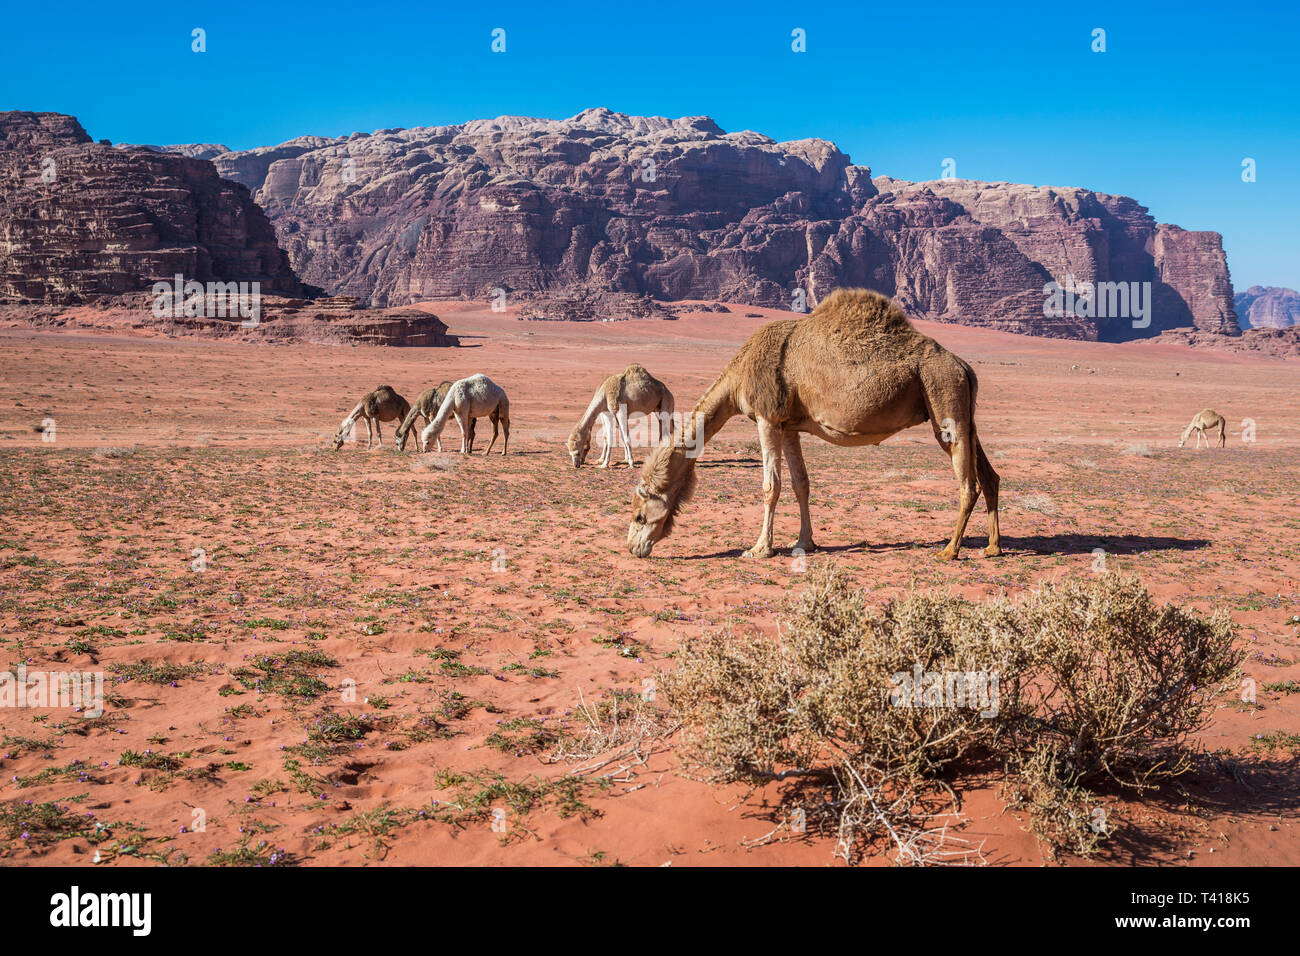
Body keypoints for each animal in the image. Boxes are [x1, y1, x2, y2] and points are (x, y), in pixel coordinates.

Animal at [626, 288, 1002, 561]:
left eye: (640, 516)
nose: (633, 548)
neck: (738, 379)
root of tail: (964, 366)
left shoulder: (767, 419)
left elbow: (771, 486)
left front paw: (759, 549)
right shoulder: (790, 425)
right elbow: (800, 483)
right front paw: (804, 543)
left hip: (943, 396)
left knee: (968, 482)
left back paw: (950, 550)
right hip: (964, 412)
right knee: (990, 475)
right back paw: (992, 546)